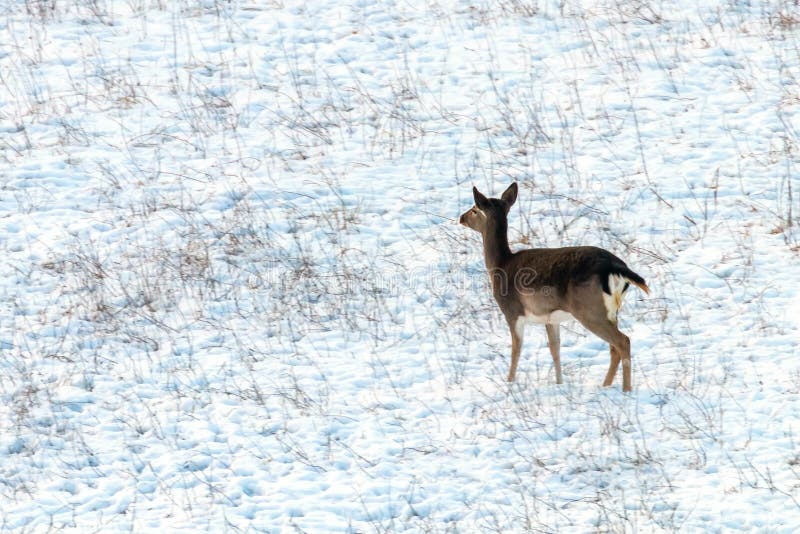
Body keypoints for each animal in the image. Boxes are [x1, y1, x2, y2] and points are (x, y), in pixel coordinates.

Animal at [459, 183, 649, 392]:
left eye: (474, 210)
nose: (461, 218)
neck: (500, 265)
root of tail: (615, 268)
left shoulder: (512, 312)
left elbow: (516, 350)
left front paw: (509, 382)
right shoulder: (550, 318)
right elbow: (555, 349)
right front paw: (559, 383)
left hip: (589, 310)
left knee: (623, 341)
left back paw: (626, 390)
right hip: (611, 311)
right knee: (614, 348)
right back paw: (605, 385)